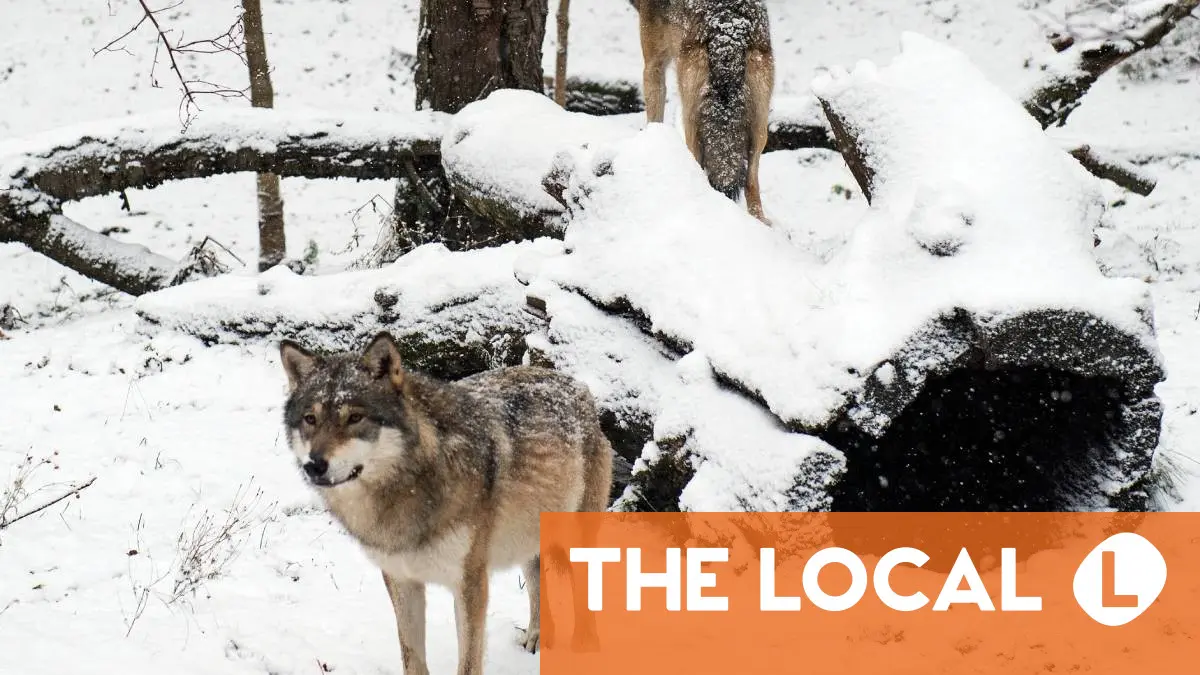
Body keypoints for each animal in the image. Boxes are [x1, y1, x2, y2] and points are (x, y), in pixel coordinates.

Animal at [278, 332, 613, 675]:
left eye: (355, 418)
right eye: (310, 419)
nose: (314, 465)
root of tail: (577, 386)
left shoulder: (470, 582)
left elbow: (468, 663)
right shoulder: (401, 580)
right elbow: (412, 657)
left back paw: (586, 648)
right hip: (528, 538)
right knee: (536, 583)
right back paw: (536, 638)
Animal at [631, 0, 775, 223]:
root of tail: (727, 30)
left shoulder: (653, 65)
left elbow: (654, 117)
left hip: (690, 115)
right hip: (760, 124)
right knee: (751, 181)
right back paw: (759, 221)